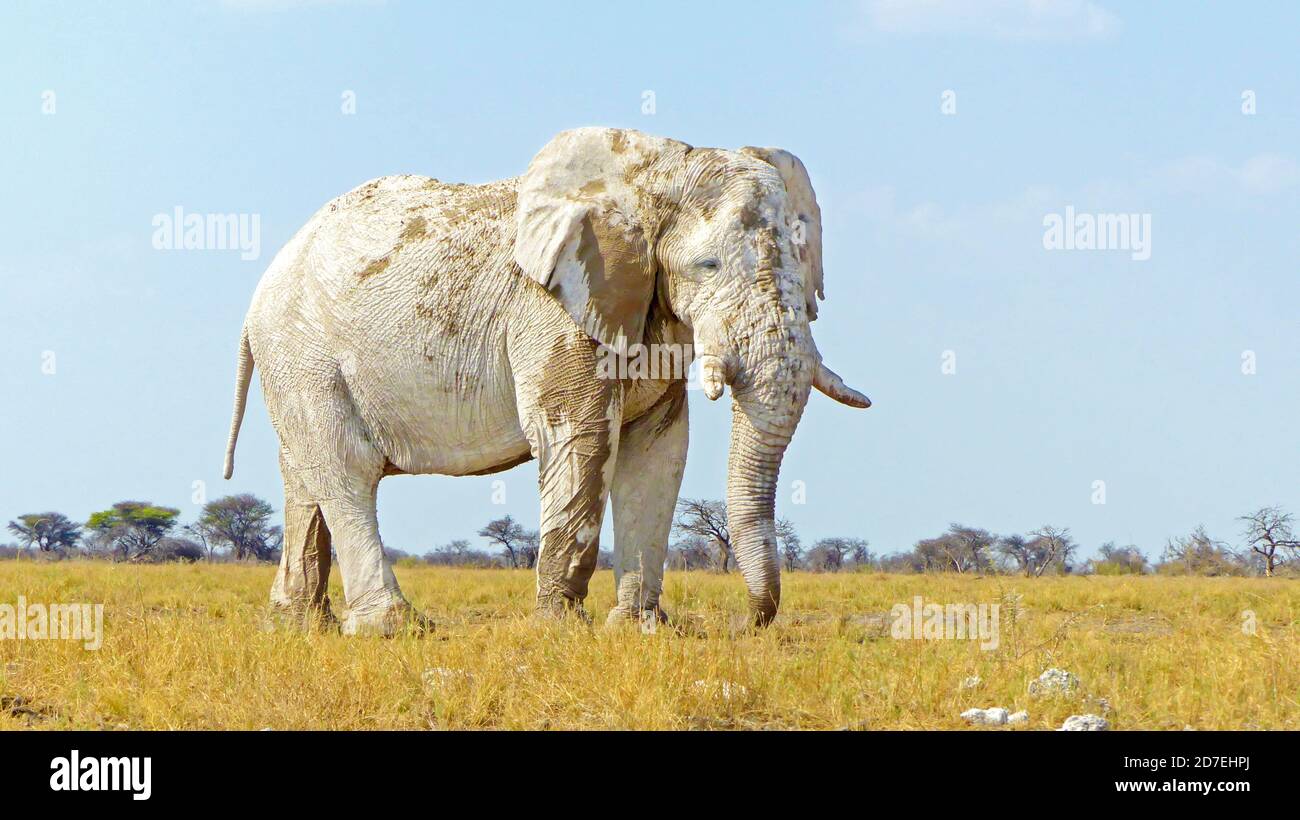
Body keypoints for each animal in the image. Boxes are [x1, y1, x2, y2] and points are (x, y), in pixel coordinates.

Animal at [222, 127, 869, 635]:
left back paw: (297, 625)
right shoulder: (554, 306)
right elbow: (579, 436)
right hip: (303, 353)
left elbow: (658, 449)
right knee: (344, 468)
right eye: (706, 266)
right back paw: (390, 627)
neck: (658, 169)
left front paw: (639, 631)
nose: (745, 624)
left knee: (305, 476)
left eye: (803, 263)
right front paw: (562, 628)